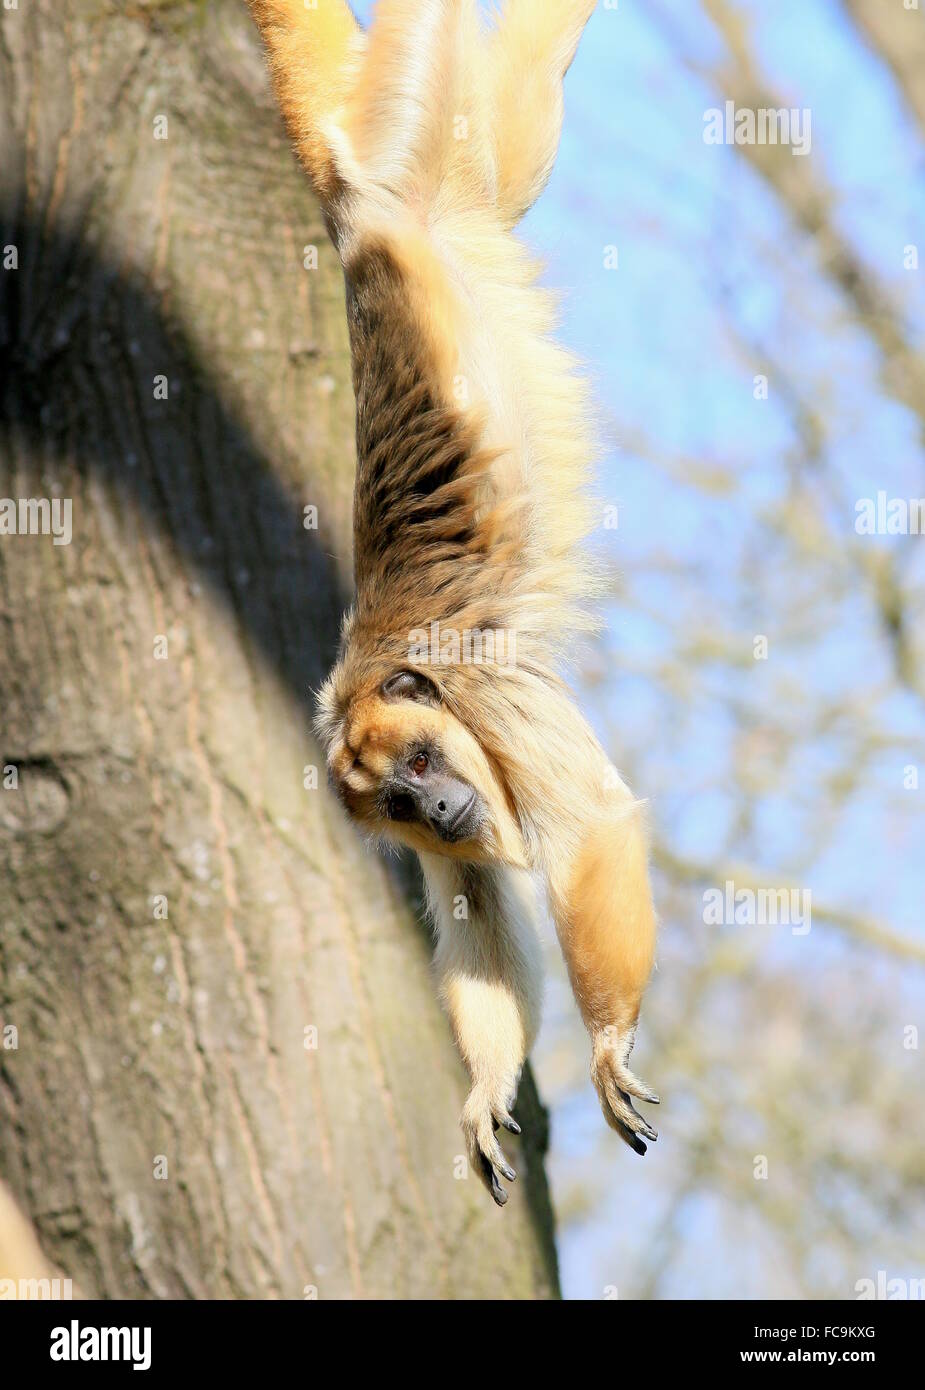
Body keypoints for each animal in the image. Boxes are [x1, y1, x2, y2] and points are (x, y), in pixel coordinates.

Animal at [247, 0, 659, 1206]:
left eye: (423, 760)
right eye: (397, 802)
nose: (432, 805)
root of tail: (356, 218)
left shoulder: (488, 690)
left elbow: (590, 826)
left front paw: (605, 1045)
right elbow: (478, 919)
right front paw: (484, 1089)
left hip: (414, 143)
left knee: (454, 43)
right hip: (462, 165)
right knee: (521, 85)